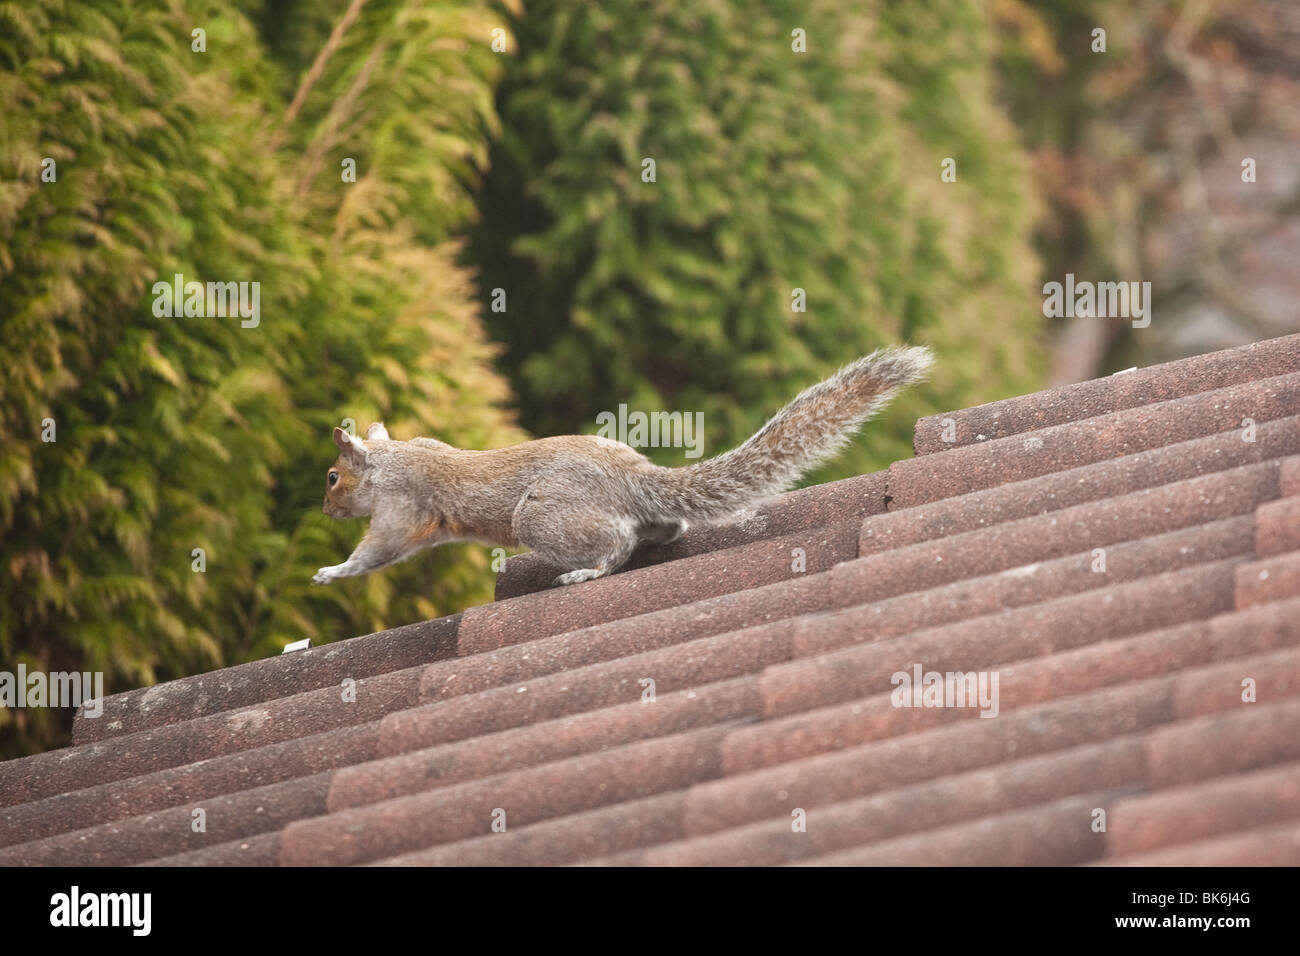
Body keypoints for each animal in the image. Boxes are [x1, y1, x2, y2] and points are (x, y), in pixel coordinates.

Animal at [314, 345, 932, 587]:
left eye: (333, 478)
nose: (324, 509)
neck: (393, 458)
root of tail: (634, 475)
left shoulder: (403, 507)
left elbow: (380, 549)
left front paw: (333, 570)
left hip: (542, 516)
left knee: (617, 544)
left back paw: (586, 571)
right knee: (664, 526)